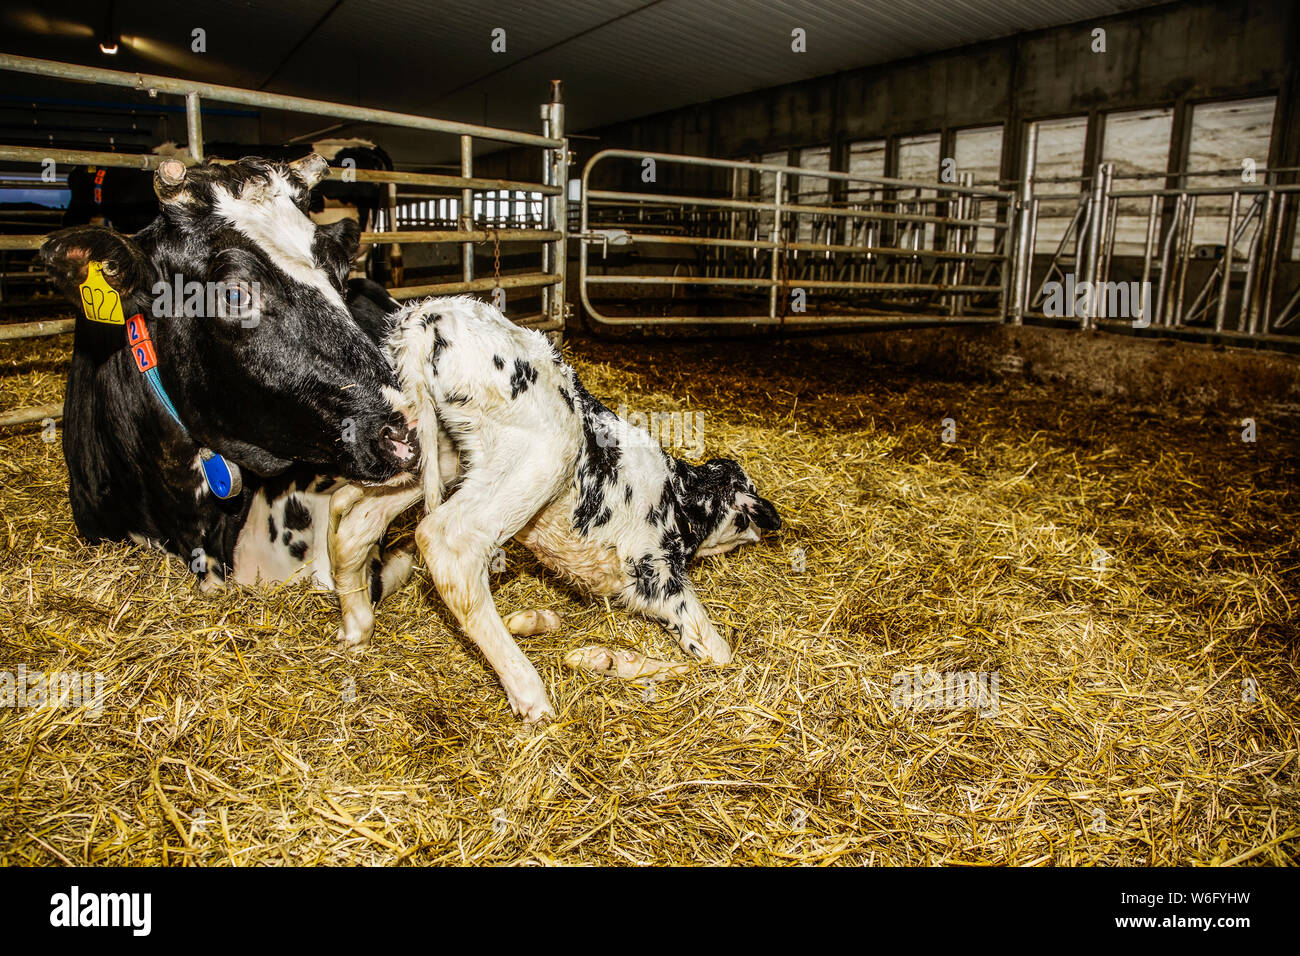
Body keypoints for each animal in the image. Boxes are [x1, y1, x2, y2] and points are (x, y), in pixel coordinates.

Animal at [328, 295, 781, 721]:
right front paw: (607, 658)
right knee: (447, 543)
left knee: (356, 517)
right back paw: (530, 693)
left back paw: (356, 626)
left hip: (438, 453)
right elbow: (716, 655)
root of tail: (430, 315)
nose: (765, 530)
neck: (681, 498)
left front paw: (540, 627)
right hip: (541, 454)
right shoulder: (656, 575)